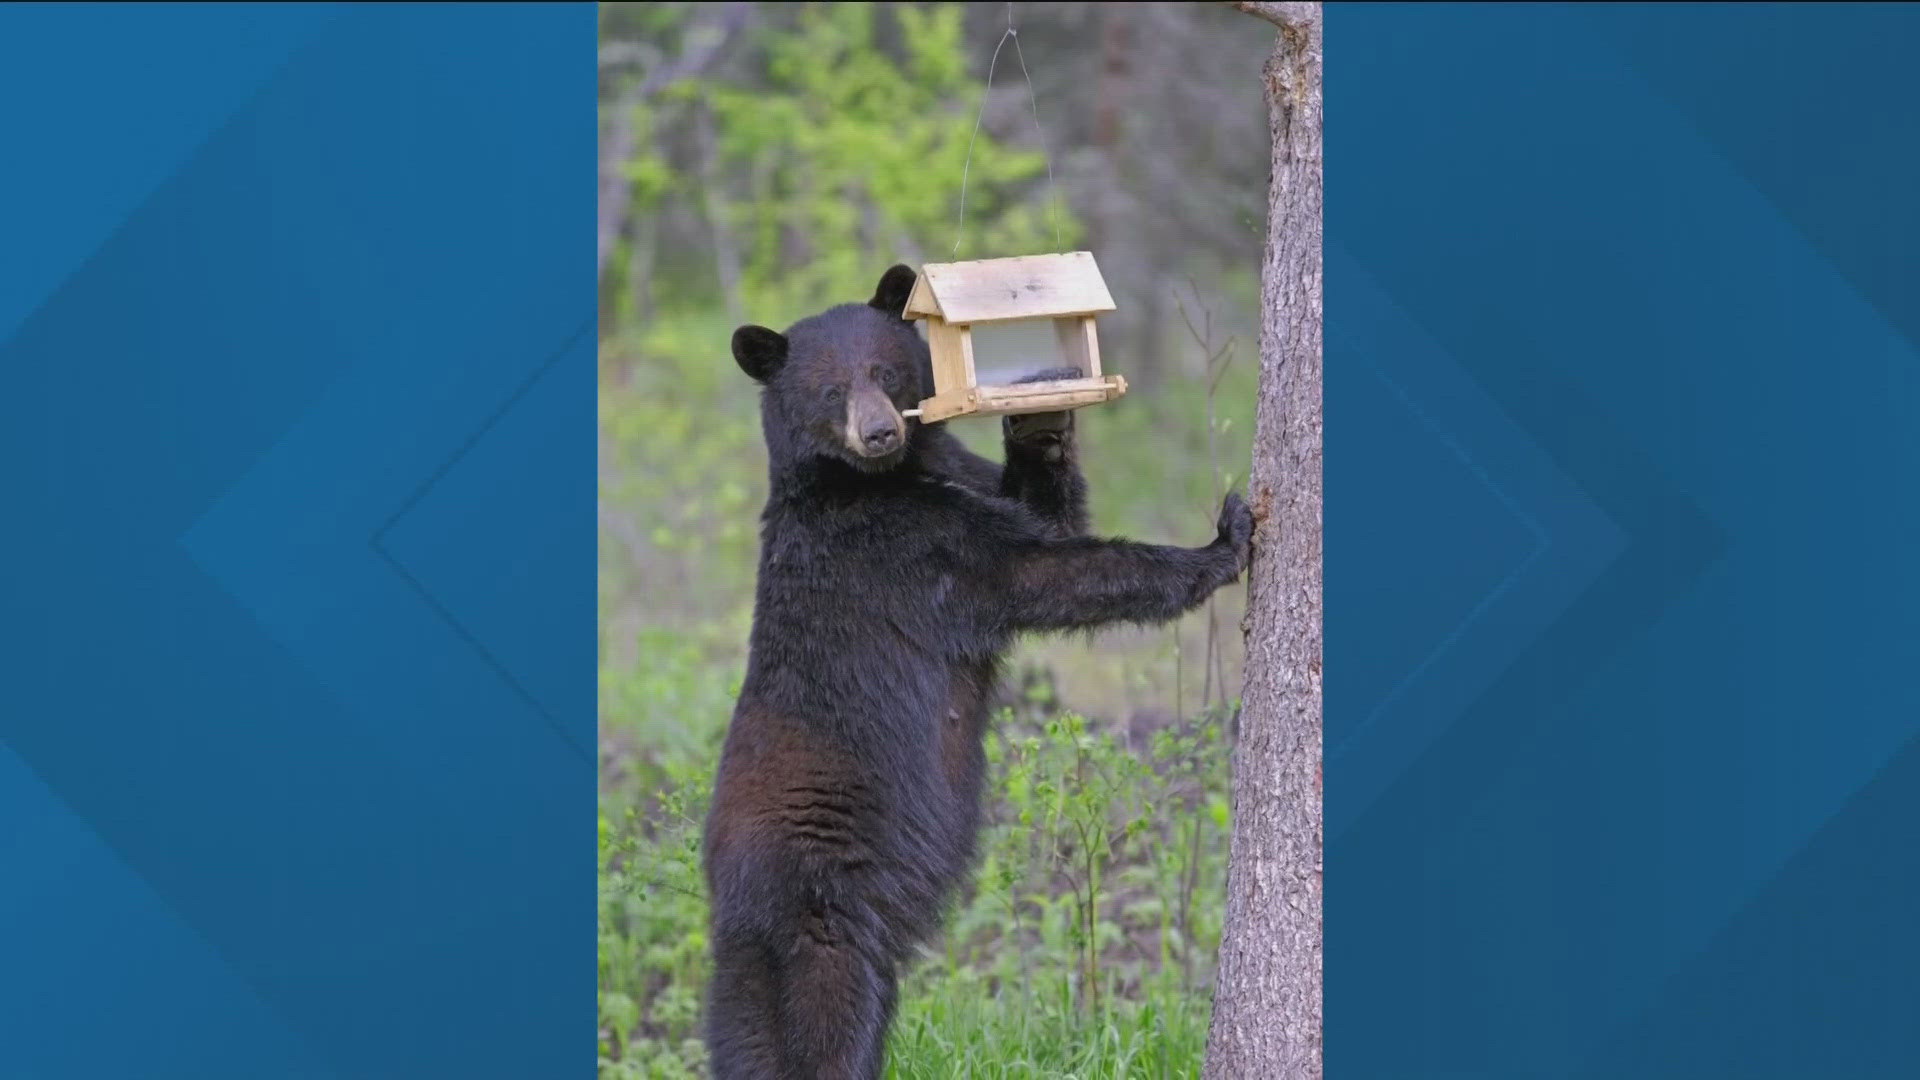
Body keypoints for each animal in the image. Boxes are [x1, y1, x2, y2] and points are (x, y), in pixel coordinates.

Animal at [701, 265, 1252, 1079]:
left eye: (886, 372)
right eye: (829, 391)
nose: (879, 431)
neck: (884, 476)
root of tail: (725, 906)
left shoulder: (959, 479)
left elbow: (1044, 515)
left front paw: (1041, 412)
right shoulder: (905, 546)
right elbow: (1040, 570)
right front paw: (1222, 541)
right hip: (818, 909)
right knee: (826, 1024)